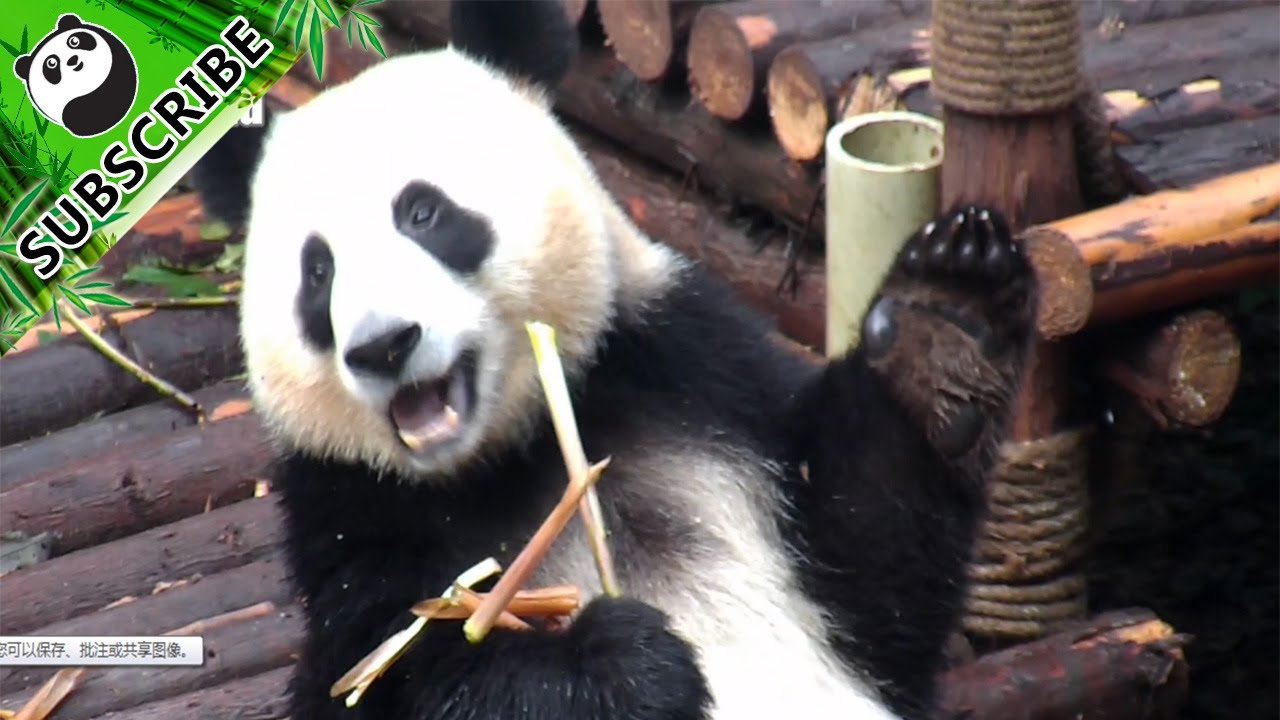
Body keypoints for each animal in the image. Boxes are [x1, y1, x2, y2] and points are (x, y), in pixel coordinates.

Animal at [190, 1, 1035, 718]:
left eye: (423, 213)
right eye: (317, 272)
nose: (382, 345)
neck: (510, 455)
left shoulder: (695, 372)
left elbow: (872, 584)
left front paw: (942, 332)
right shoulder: (351, 512)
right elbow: (394, 672)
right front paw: (623, 662)